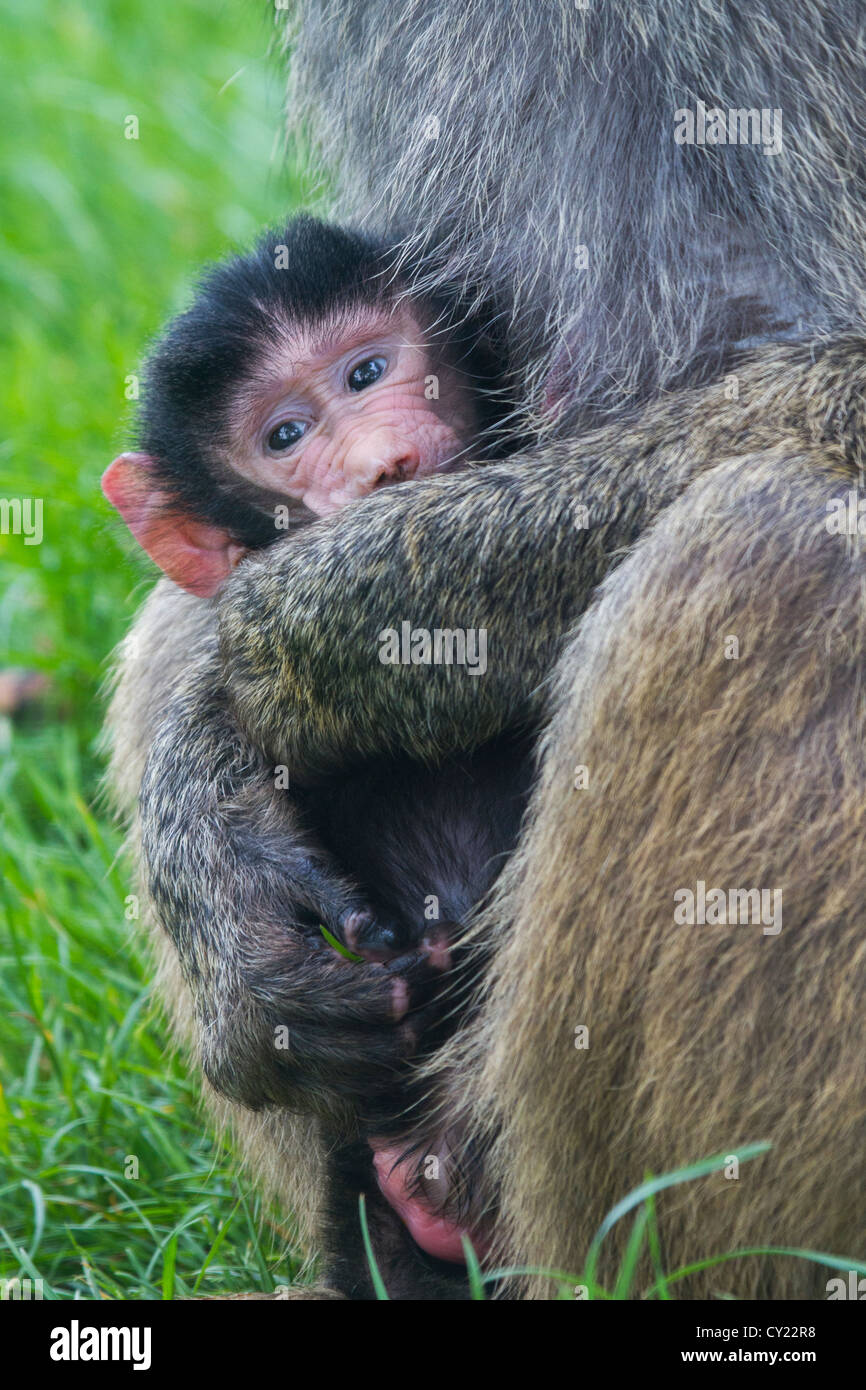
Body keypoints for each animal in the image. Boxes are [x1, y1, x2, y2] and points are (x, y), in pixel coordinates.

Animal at [105, 0, 866, 1298]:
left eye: (371, 372)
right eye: (286, 432)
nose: (381, 464)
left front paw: (308, 637)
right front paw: (205, 815)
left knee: (765, 543)